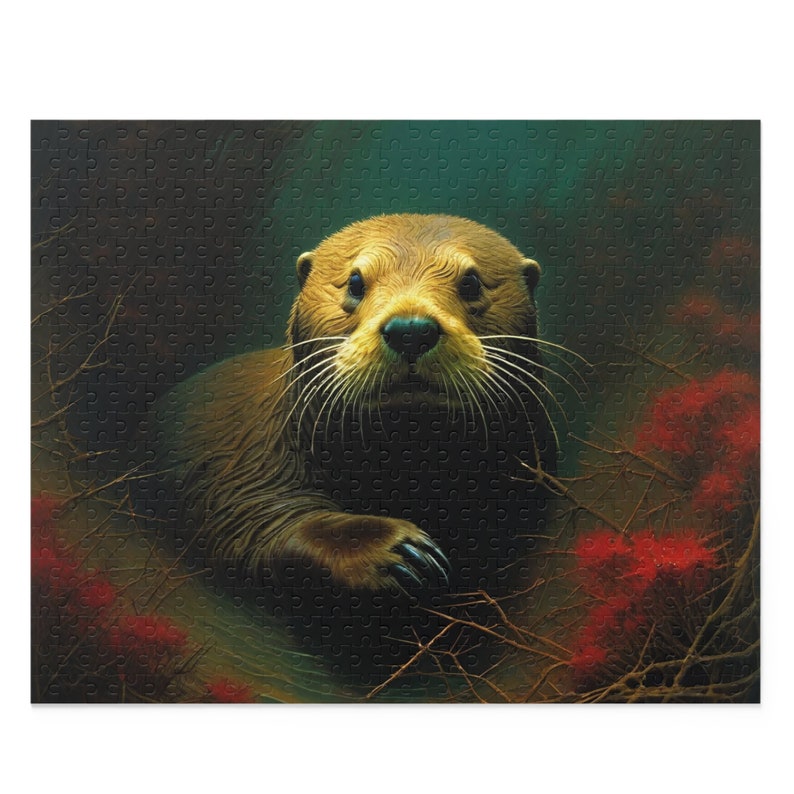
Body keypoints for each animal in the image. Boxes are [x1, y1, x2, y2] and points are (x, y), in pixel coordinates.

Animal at [156, 214, 556, 673]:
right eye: (355, 282)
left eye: (471, 282)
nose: (410, 329)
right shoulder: (242, 472)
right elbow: (257, 521)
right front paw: (394, 552)